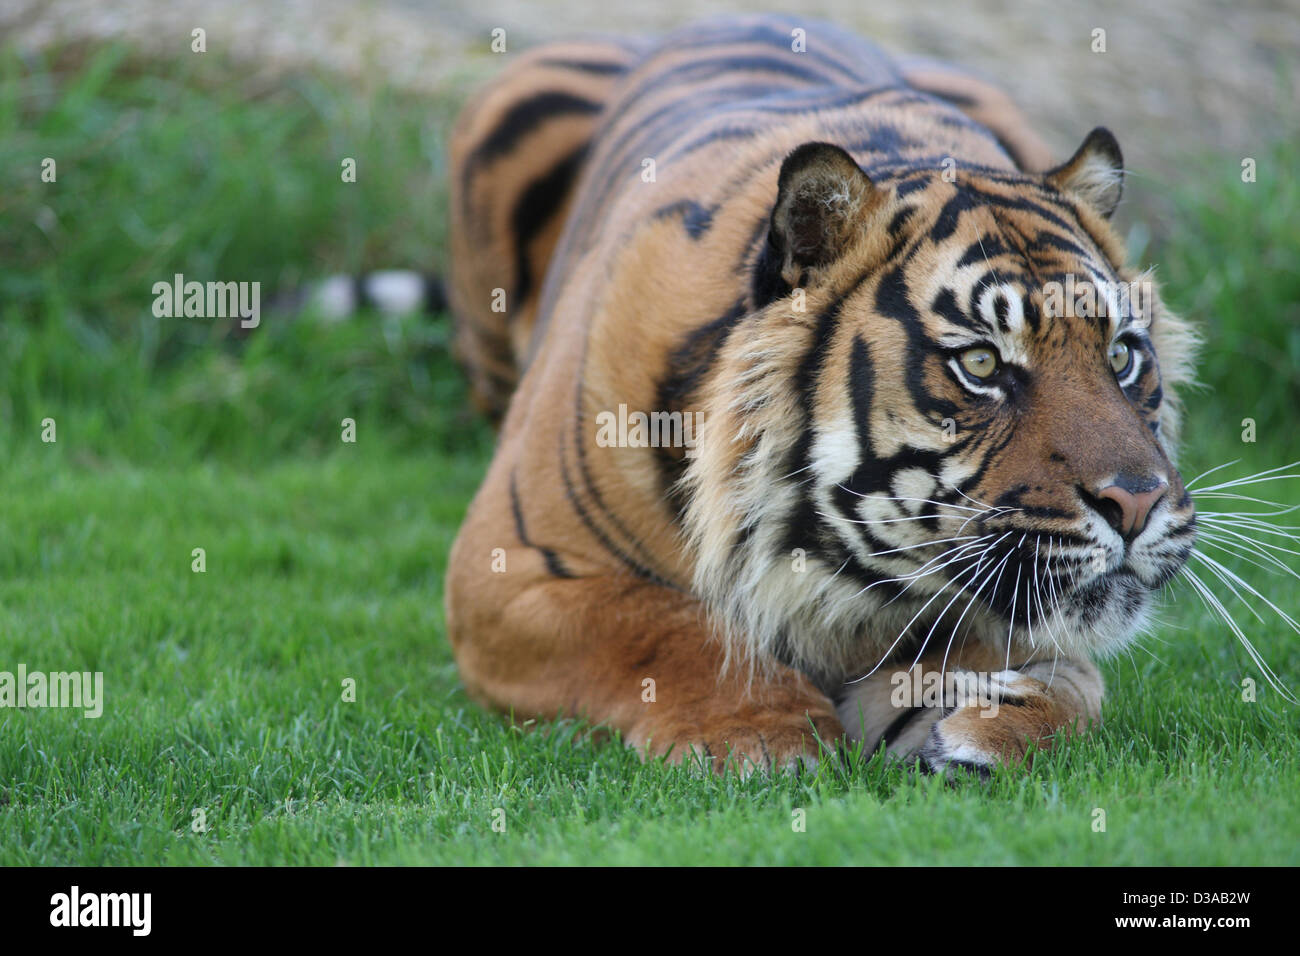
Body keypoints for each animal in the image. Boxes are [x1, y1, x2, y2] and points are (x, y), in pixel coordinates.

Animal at [443, 14, 1198, 775]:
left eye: (1121, 356)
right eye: (982, 363)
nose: (1137, 503)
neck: (819, 559)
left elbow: (1070, 680)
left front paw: (1001, 717)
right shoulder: (505, 575)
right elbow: (663, 625)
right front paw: (762, 734)